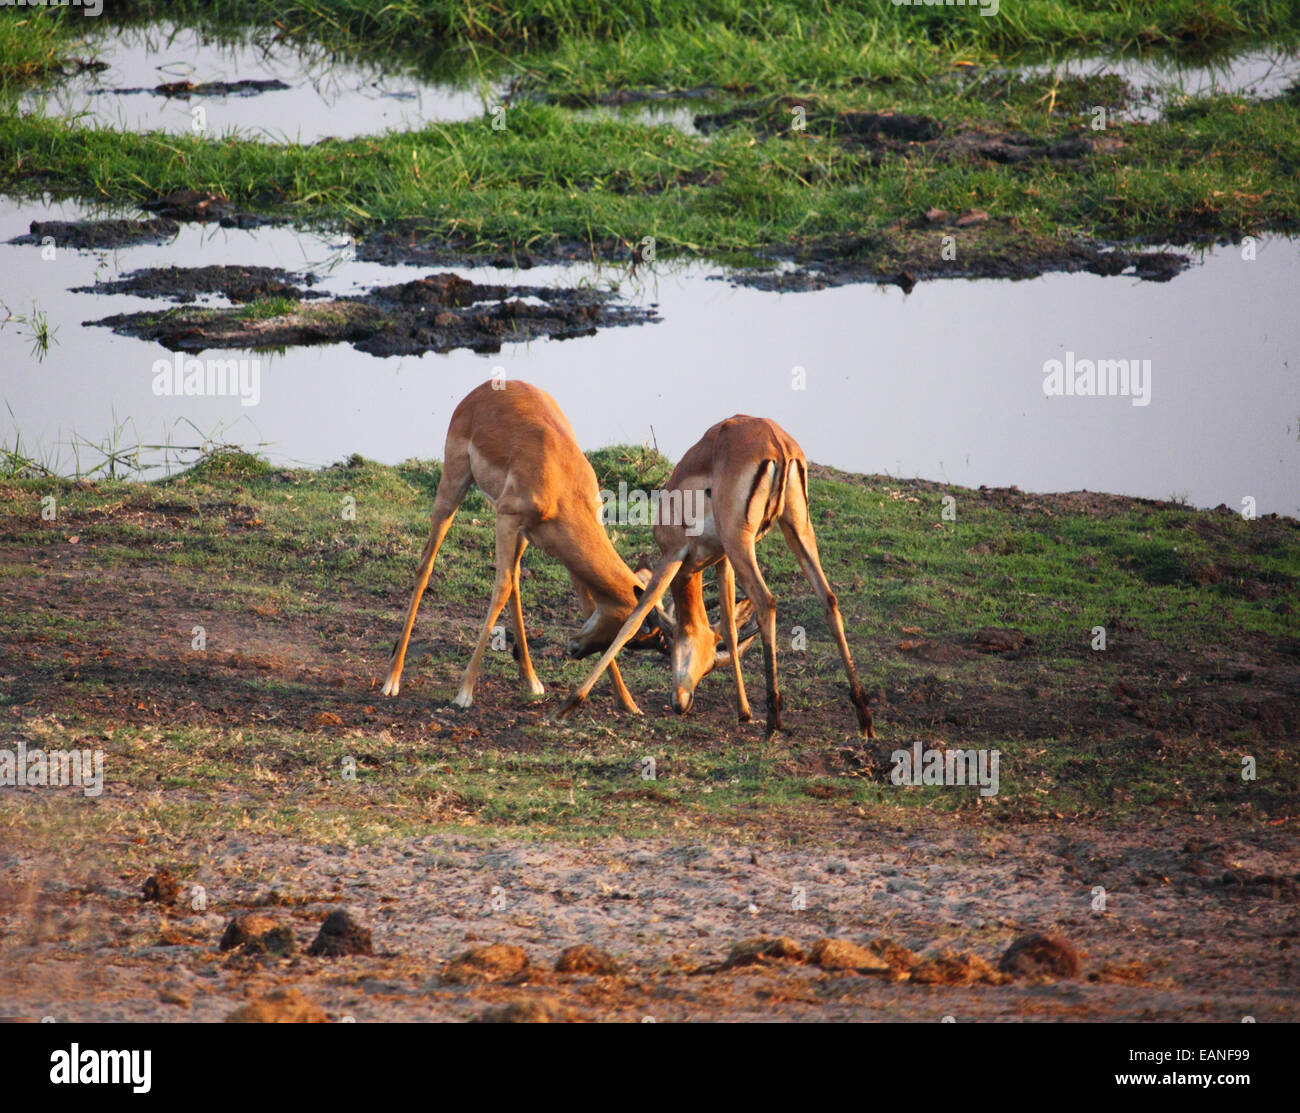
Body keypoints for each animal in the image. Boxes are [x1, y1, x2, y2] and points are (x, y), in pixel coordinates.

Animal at [381, 379, 664, 711]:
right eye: (632, 635)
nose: (575, 648)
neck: (563, 481)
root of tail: (482, 390)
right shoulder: (506, 518)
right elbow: (500, 589)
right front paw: (463, 694)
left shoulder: (564, 552)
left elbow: (584, 603)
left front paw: (628, 702)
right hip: (454, 487)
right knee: (427, 564)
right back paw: (392, 679)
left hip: (525, 535)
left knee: (515, 577)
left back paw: (531, 679)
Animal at [559, 415, 874, 738]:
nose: (682, 703)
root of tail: (777, 442)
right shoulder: (722, 560)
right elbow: (729, 627)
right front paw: (744, 711)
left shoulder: (673, 554)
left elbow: (638, 613)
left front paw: (570, 703)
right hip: (795, 529)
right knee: (829, 599)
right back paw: (864, 716)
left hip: (742, 541)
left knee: (767, 601)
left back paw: (774, 720)